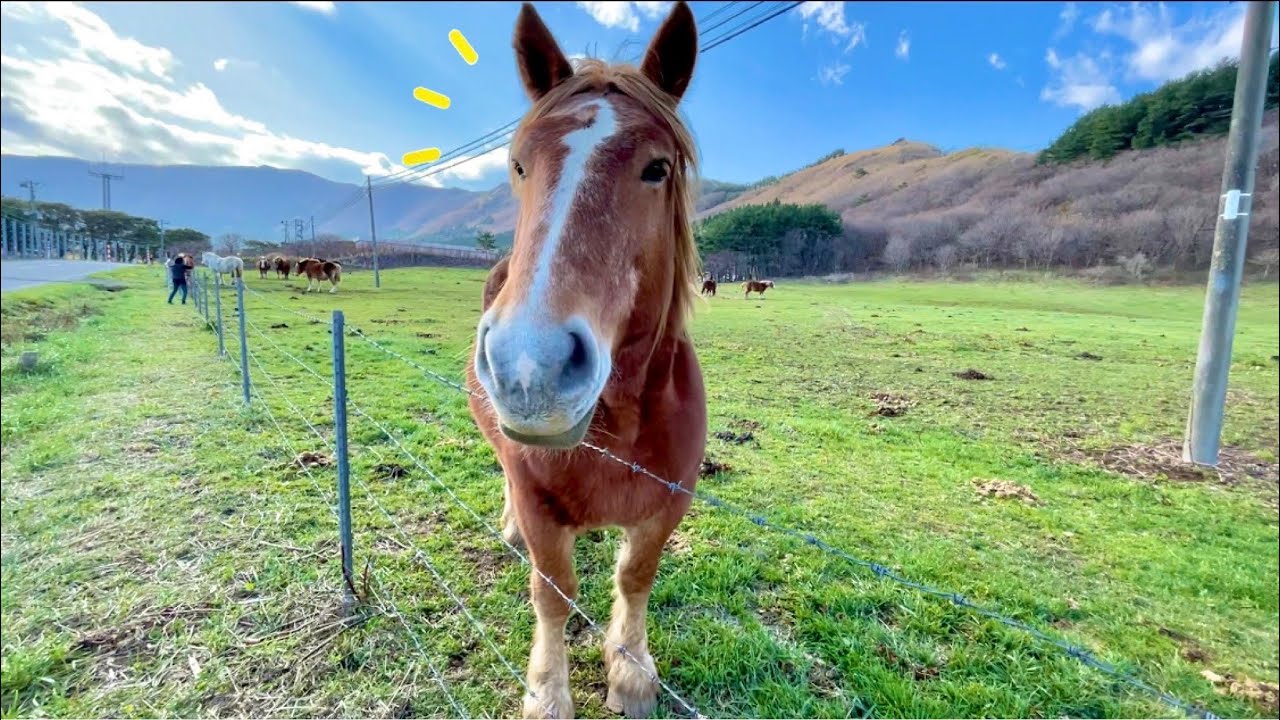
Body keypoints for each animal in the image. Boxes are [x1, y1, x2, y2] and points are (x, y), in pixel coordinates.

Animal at [465, 4, 704, 717]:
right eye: (519, 166)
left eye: (657, 169)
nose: (530, 368)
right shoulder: (541, 505)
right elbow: (554, 592)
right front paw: (547, 691)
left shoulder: (667, 503)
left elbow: (635, 576)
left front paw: (630, 671)